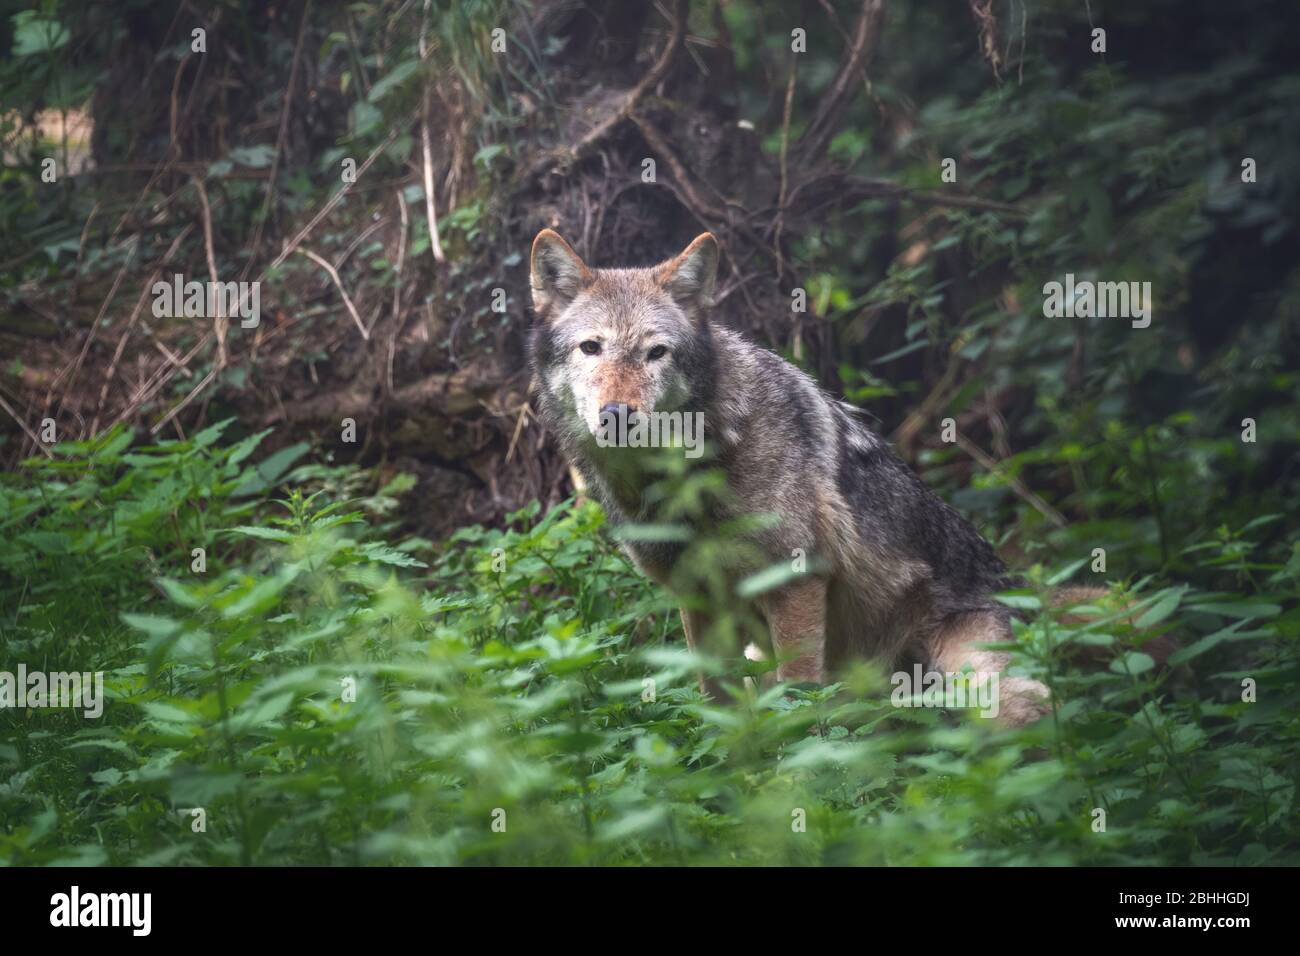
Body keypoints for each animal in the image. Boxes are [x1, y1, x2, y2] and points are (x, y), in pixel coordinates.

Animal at [529, 228, 1070, 725]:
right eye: (591, 348)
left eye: (655, 353)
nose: (617, 415)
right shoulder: (698, 598)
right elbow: (717, 705)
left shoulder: (794, 581)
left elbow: (797, 700)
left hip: (979, 686)